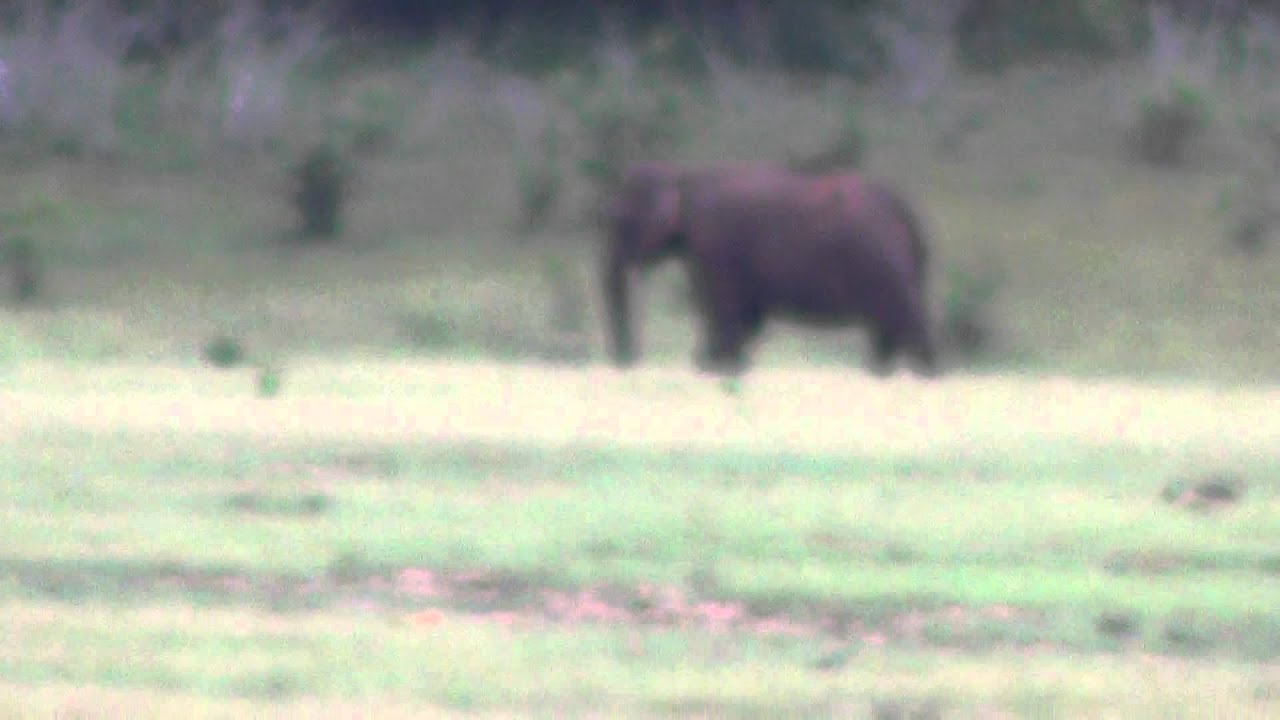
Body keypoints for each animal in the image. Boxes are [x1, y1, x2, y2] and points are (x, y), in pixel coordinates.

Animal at [601, 161, 939, 377]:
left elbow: (723, 309)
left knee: (907, 324)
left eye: (621, 220)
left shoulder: (713, 247)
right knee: (889, 330)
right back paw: (879, 372)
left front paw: (716, 368)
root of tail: (908, 218)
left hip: (886, 269)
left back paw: (923, 374)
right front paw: (724, 367)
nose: (628, 360)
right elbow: (746, 316)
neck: (683, 176)